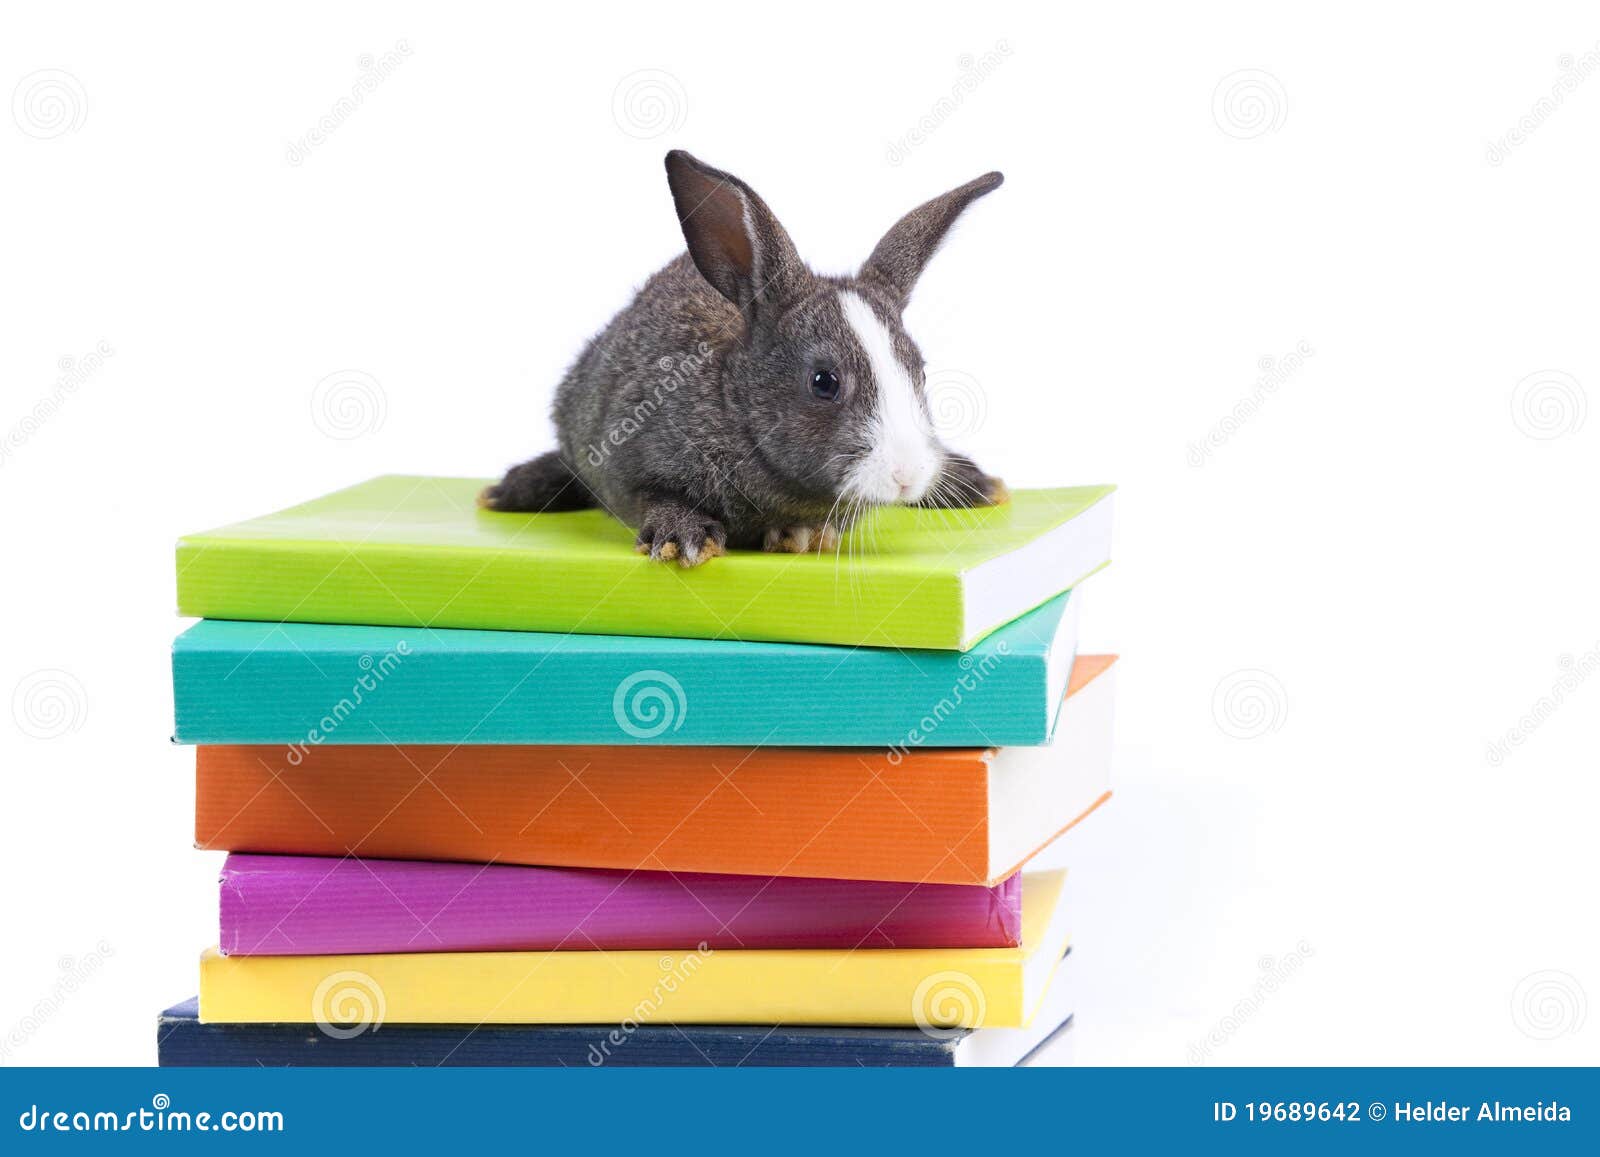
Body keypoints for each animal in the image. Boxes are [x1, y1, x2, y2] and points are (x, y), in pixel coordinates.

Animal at [480, 149, 1009, 567]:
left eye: (920, 372)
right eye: (824, 381)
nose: (907, 477)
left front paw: (801, 535)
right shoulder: (627, 459)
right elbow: (654, 498)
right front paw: (683, 539)